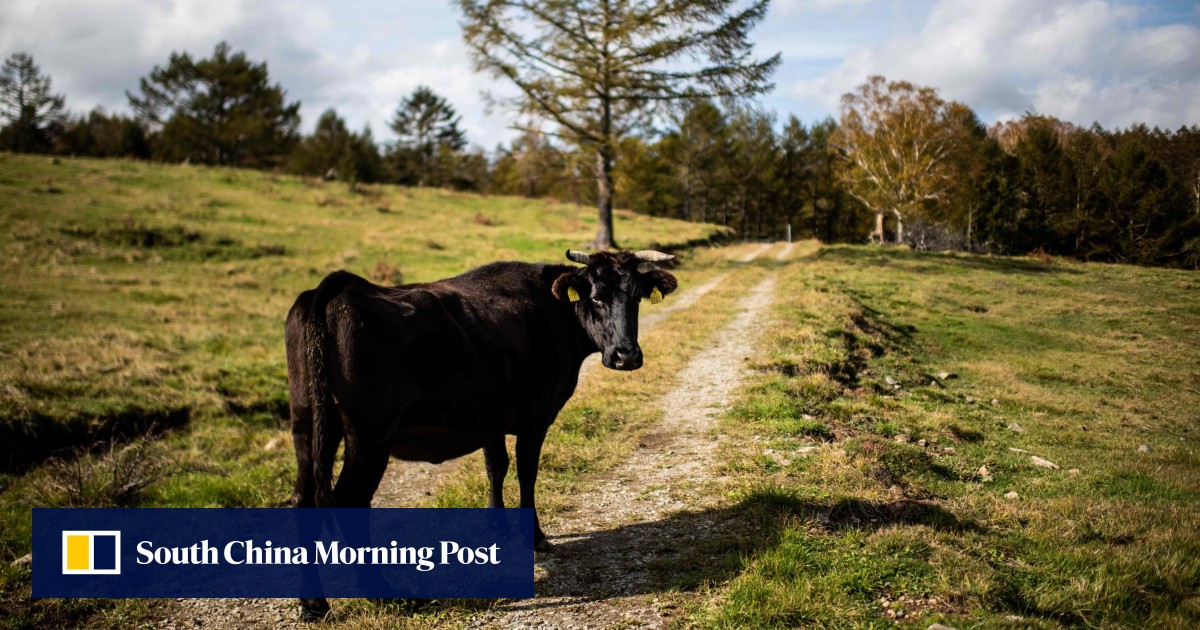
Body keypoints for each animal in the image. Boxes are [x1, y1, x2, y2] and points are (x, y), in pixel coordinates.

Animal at [284, 249, 678, 620]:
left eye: (637, 297)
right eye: (595, 297)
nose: (626, 356)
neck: (553, 313)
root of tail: (341, 288)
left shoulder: (491, 417)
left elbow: (495, 467)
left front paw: (498, 528)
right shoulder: (535, 416)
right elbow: (526, 474)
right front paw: (535, 537)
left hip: (307, 425)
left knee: (303, 501)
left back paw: (314, 604)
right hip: (369, 437)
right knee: (347, 500)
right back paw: (384, 595)